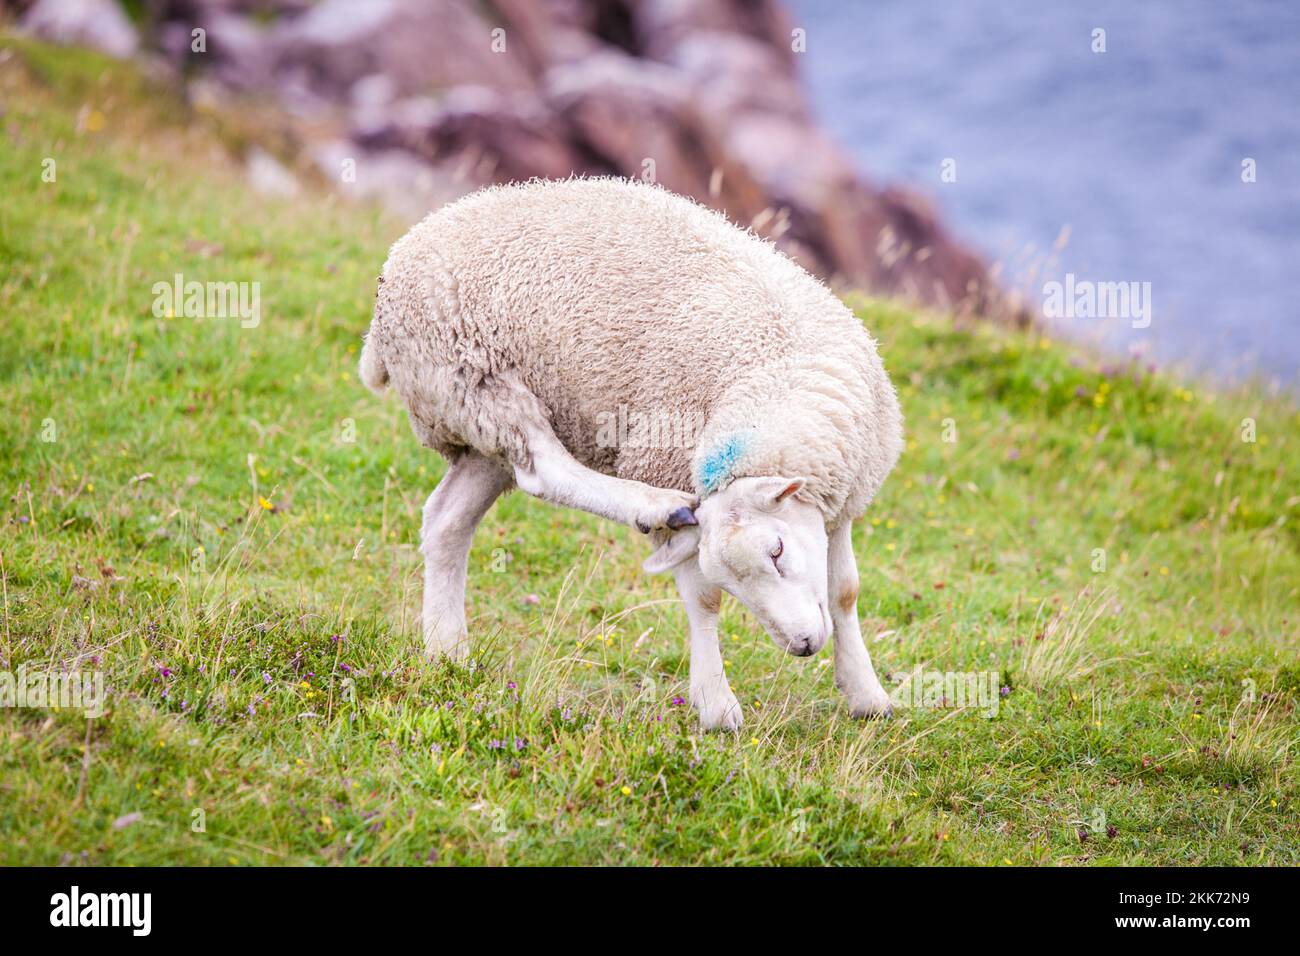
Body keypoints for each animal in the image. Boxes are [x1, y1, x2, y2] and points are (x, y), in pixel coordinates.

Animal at [360, 177, 904, 730]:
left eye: (776, 551)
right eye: (742, 575)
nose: (803, 645)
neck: (769, 380)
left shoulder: (840, 502)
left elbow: (844, 590)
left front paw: (867, 694)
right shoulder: (672, 468)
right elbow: (703, 600)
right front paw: (716, 704)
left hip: (477, 428)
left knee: (446, 521)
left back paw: (447, 651)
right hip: (481, 379)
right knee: (544, 471)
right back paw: (653, 505)